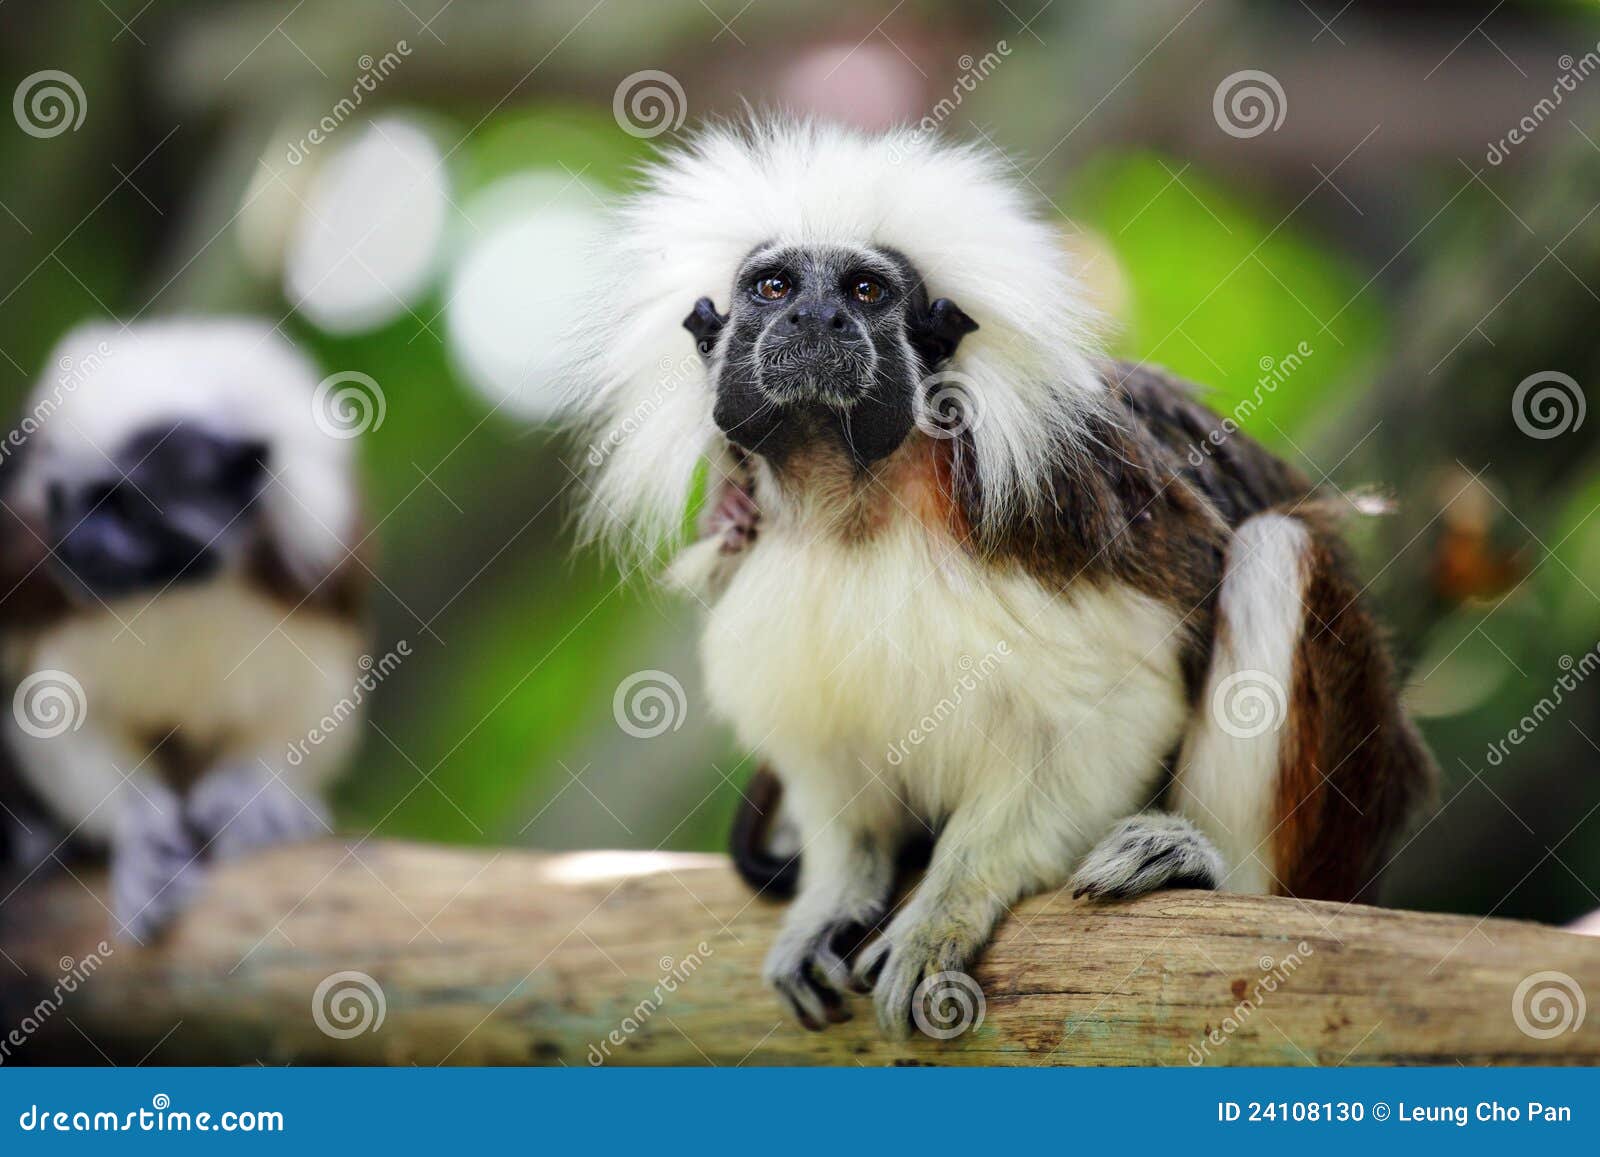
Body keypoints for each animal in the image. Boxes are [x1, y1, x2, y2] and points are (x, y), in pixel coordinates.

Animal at [0, 319, 370, 943]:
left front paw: (256, 794)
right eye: (64, 502)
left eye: (123, 506)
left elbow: (314, 702)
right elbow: (44, 710)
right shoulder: (30, 565)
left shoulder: (321, 556)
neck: (178, 584)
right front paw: (141, 830)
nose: (78, 544)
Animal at [561, 118, 1436, 1038]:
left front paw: (945, 909)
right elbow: (832, 767)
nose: (817, 315)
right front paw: (834, 895)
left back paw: (1206, 865)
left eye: (866, 291)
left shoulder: (1047, 510)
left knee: (1275, 550)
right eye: (773, 286)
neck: (854, 502)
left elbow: (1110, 714)